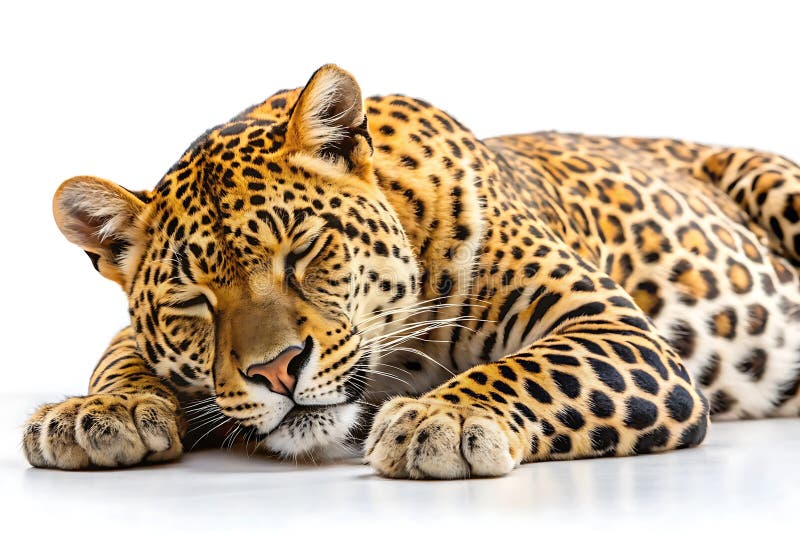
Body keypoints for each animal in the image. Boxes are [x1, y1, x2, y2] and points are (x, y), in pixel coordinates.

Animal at [23, 64, 800, 479]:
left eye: (303, 249)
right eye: (194, 302)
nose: (276, 370)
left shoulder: (612, 327)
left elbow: (531, 368)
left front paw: (443, 418)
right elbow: (121, 355)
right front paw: (98, 411)